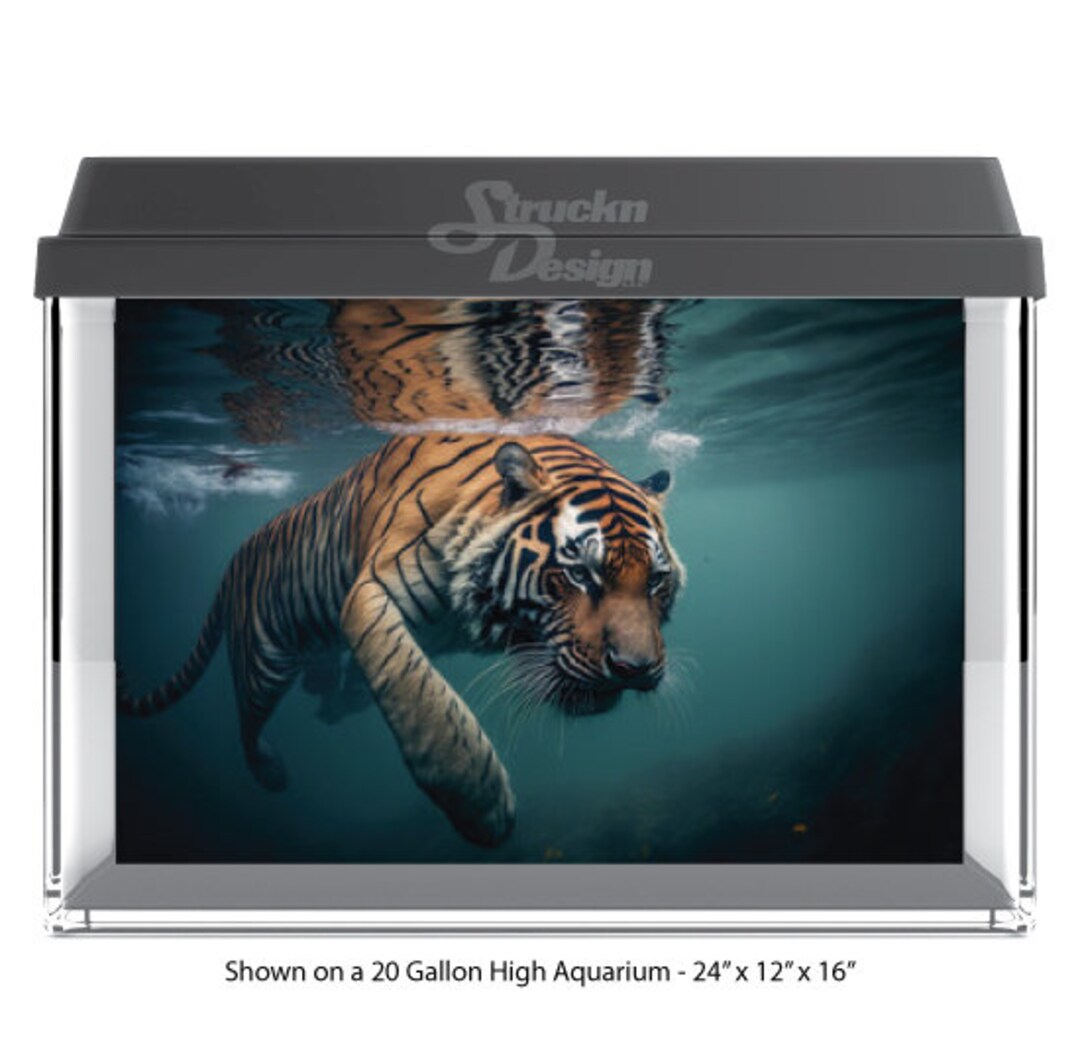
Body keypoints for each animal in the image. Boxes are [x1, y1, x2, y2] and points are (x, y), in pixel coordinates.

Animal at [119, 433, 684, 847]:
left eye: (656, 582)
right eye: (581, 575)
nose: (634, 668)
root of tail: (231, 563)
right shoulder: (368, 594)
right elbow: (418, 693)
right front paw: (482, 805)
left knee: (331, 689)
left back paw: (328, 697)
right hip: (263, 660)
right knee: (249, 723)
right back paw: (271, 772)